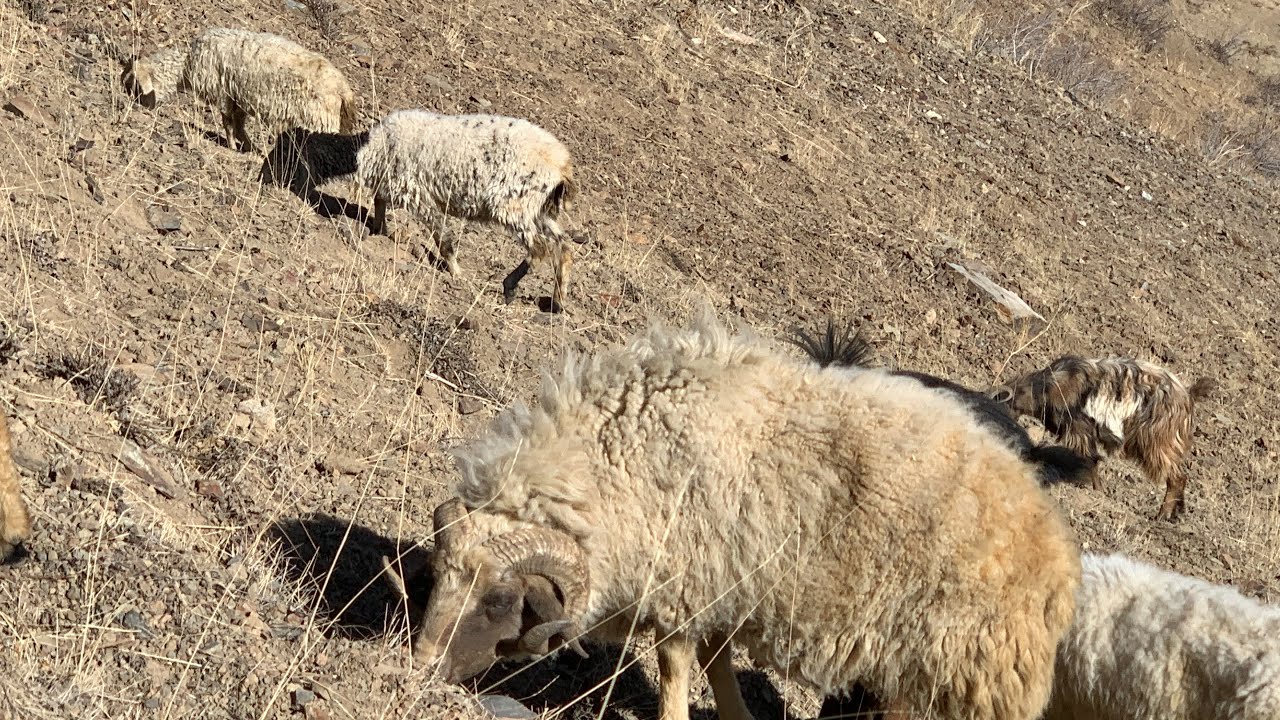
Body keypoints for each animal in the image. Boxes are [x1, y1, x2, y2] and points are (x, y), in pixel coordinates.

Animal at [121, 28, 357, 152]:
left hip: (319, 121)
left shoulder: (223, 93)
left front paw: (233, 146)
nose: (137, 105)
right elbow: (238, 124)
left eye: (133, 84)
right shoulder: (239, 97)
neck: (185, 65)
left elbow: (227, 121)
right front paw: (248, 147)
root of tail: (344, 91)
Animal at [260, 111, 582, 311]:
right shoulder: (391, 184)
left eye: (286, 149)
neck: (368, 146)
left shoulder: (417, 193)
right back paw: (558, 301)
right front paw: (379, 231)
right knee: (563, 246)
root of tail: (562, 165)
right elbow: (380, 204)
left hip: (515, 204)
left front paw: (455, 272)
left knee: (540, 248)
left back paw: (510, 287)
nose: (265, 177)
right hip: (539, 210)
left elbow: (443, 238)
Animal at [990, 355, 1215, 520]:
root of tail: (1188, 395)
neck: (1046, 388)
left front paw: (1094, 489)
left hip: (1159, 444)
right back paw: (1176, 513)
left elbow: (1089, 459)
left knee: (1176, 477)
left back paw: (1163, 515)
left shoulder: (1079, 429)